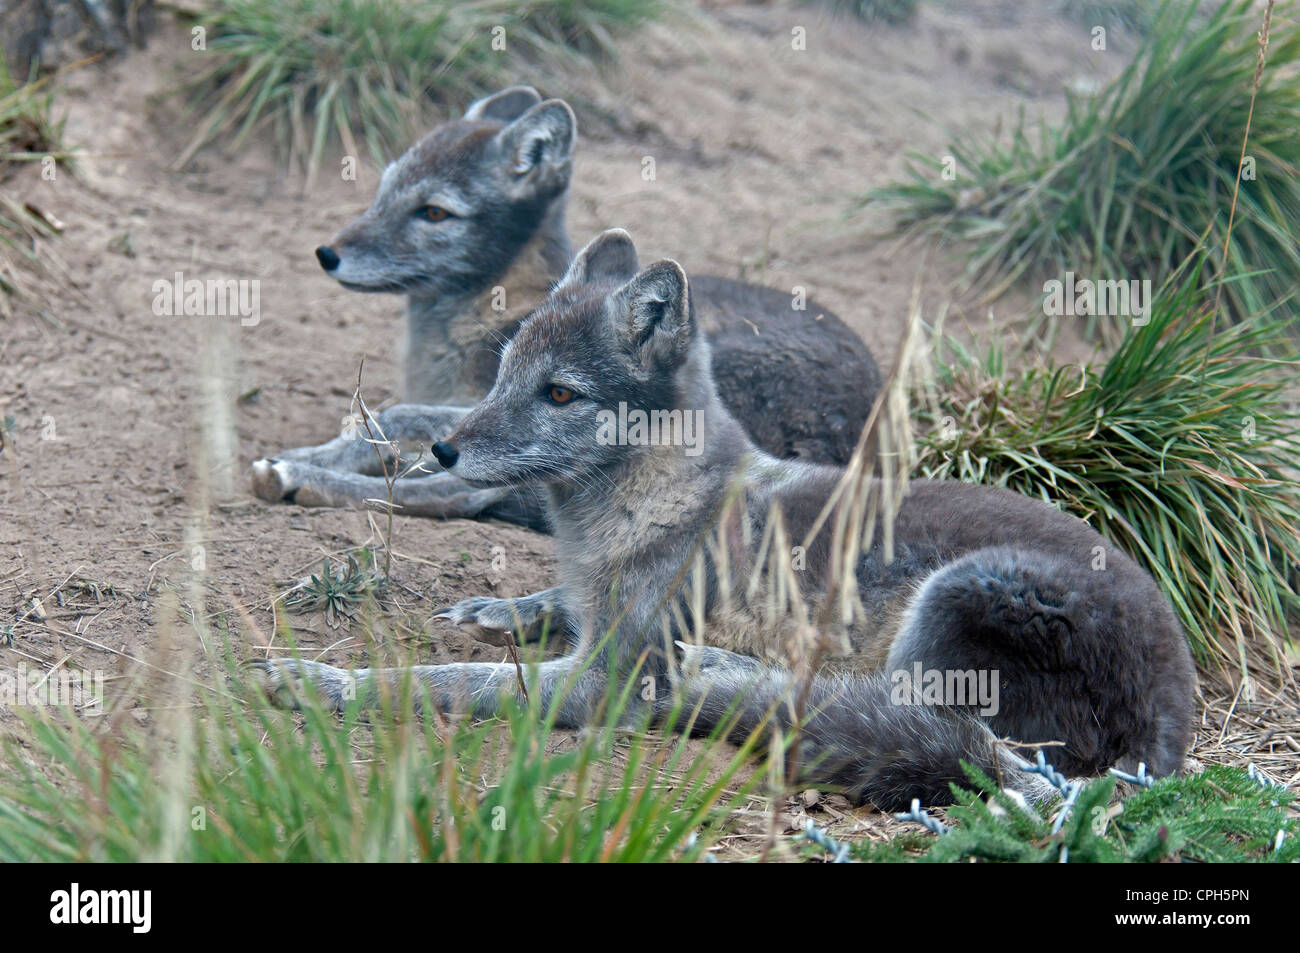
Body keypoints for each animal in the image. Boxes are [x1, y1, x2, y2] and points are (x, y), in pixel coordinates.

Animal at [249, 86, 881, 530]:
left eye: (433, 212)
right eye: (384, 189)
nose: (328, 253)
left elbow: (403, 422)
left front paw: (307, 461)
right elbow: (395, 418)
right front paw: (320, 449)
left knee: (460, 494)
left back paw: (296, 480)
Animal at [251, 229, 1198, 810]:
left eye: (559, 394)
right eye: (505, 368)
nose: (443, 448)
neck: (650, 508)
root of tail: (1174, 725)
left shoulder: (603, 680)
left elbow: (444, 681)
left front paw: (325, 682)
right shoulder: (599, 616)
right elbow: (546, 610)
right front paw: (503, 608)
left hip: (957, 596)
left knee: (981, 759)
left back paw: (726, 677)